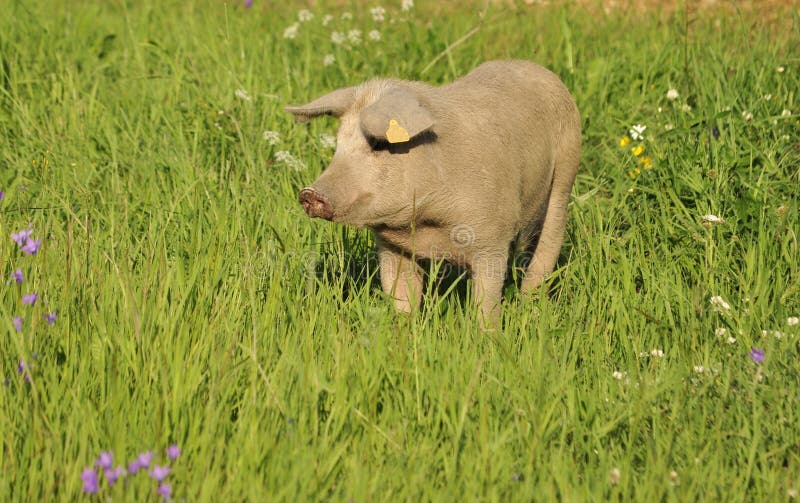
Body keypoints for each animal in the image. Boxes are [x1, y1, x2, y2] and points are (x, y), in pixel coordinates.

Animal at [285, 60, 581, 326]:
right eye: (339, 145)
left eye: (378, 144)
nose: (310, 193)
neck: (425, 222)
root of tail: (541, 70)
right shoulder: (392, 247)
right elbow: (401, 295)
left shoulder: (493, 237)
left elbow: (486, 302)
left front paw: (488, 339)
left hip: (567, 168)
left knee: (547, 248)